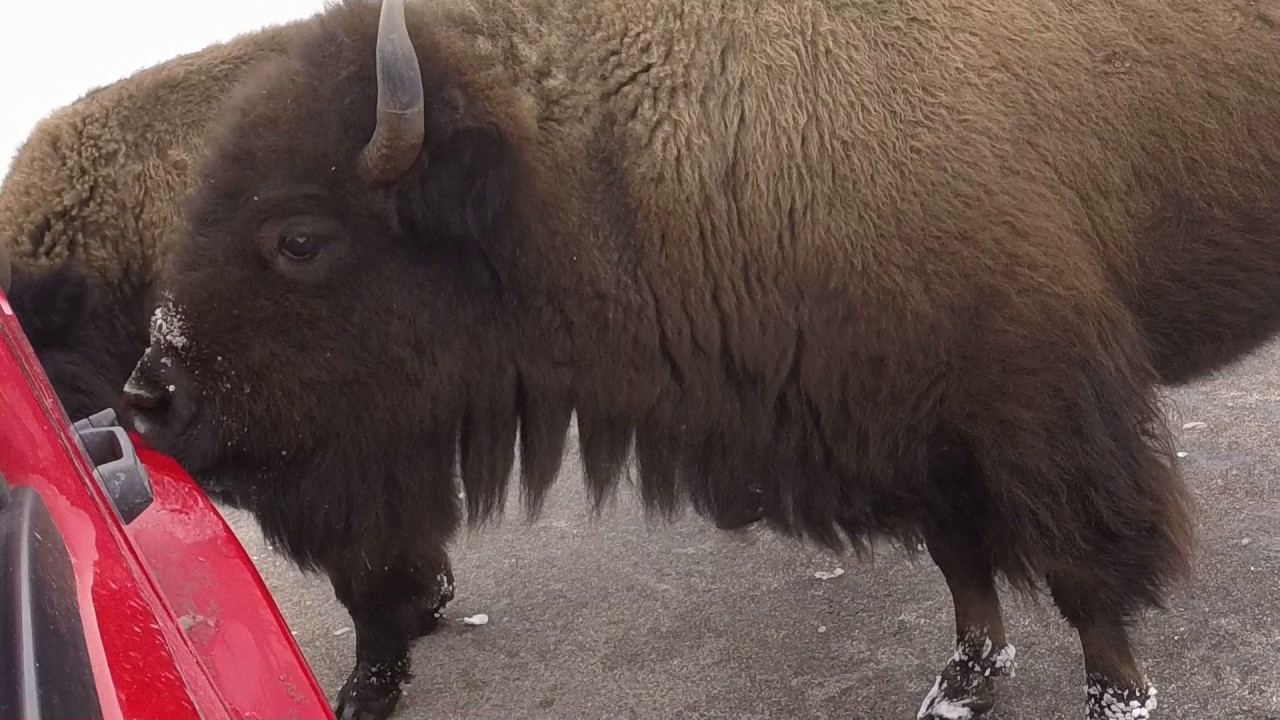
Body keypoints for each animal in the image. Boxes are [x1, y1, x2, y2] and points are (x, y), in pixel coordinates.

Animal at [120, 0, 1280, 717]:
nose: (149, 397)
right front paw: (960, 683)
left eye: (298, 238)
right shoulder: (907, 431)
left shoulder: (1038, 412)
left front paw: (1117, 698)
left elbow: (1087, 581)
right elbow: (964, 569)